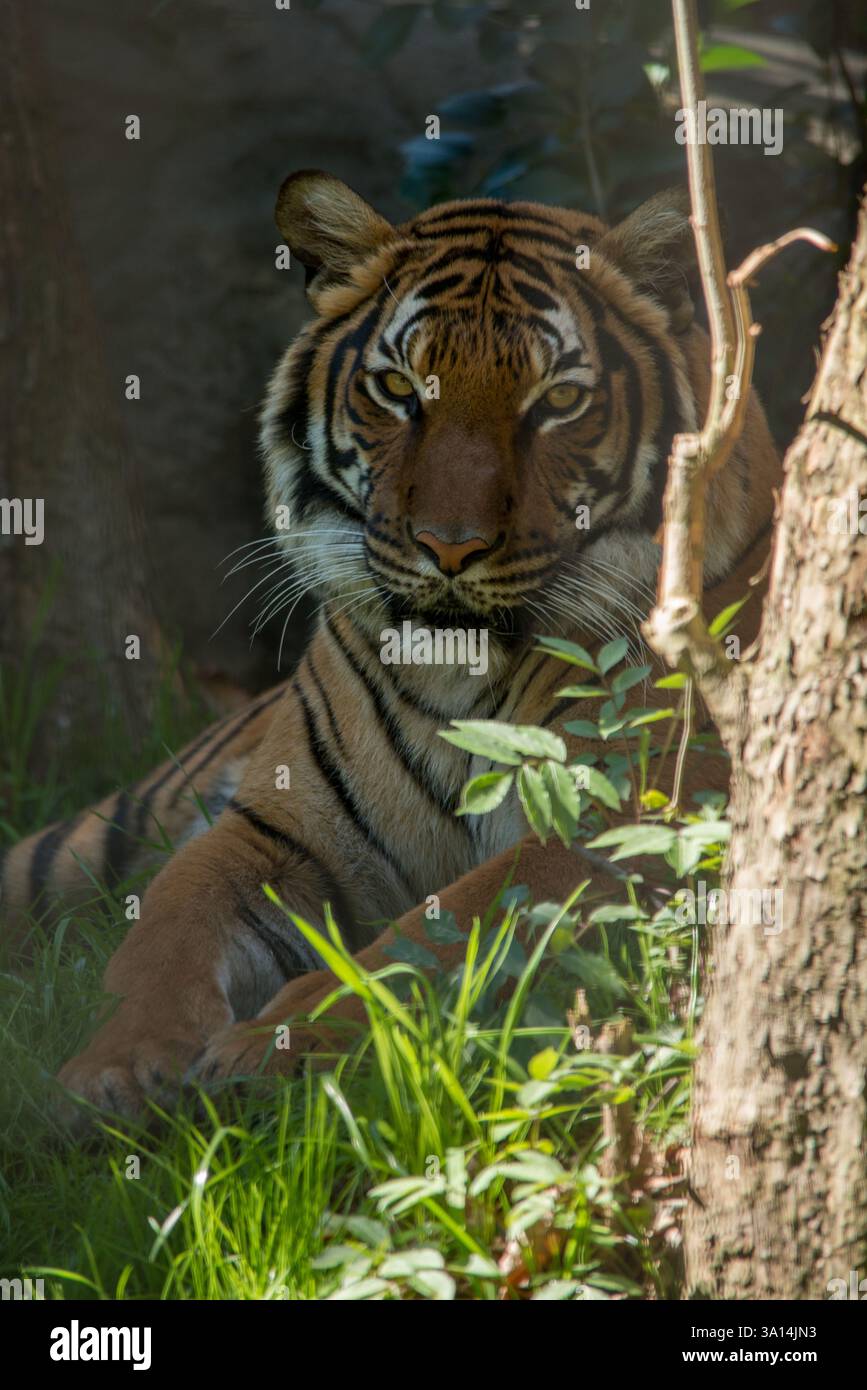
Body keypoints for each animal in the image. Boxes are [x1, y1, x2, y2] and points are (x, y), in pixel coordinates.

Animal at [0, 170, 781, 1119]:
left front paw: (273, 1046)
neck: (453, 683)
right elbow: (165, 926)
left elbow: (446, 927)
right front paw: (114, 1071)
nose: (448, 546)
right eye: (399, 388)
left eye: (558, 400)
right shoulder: (278, 829)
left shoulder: (625, 821)